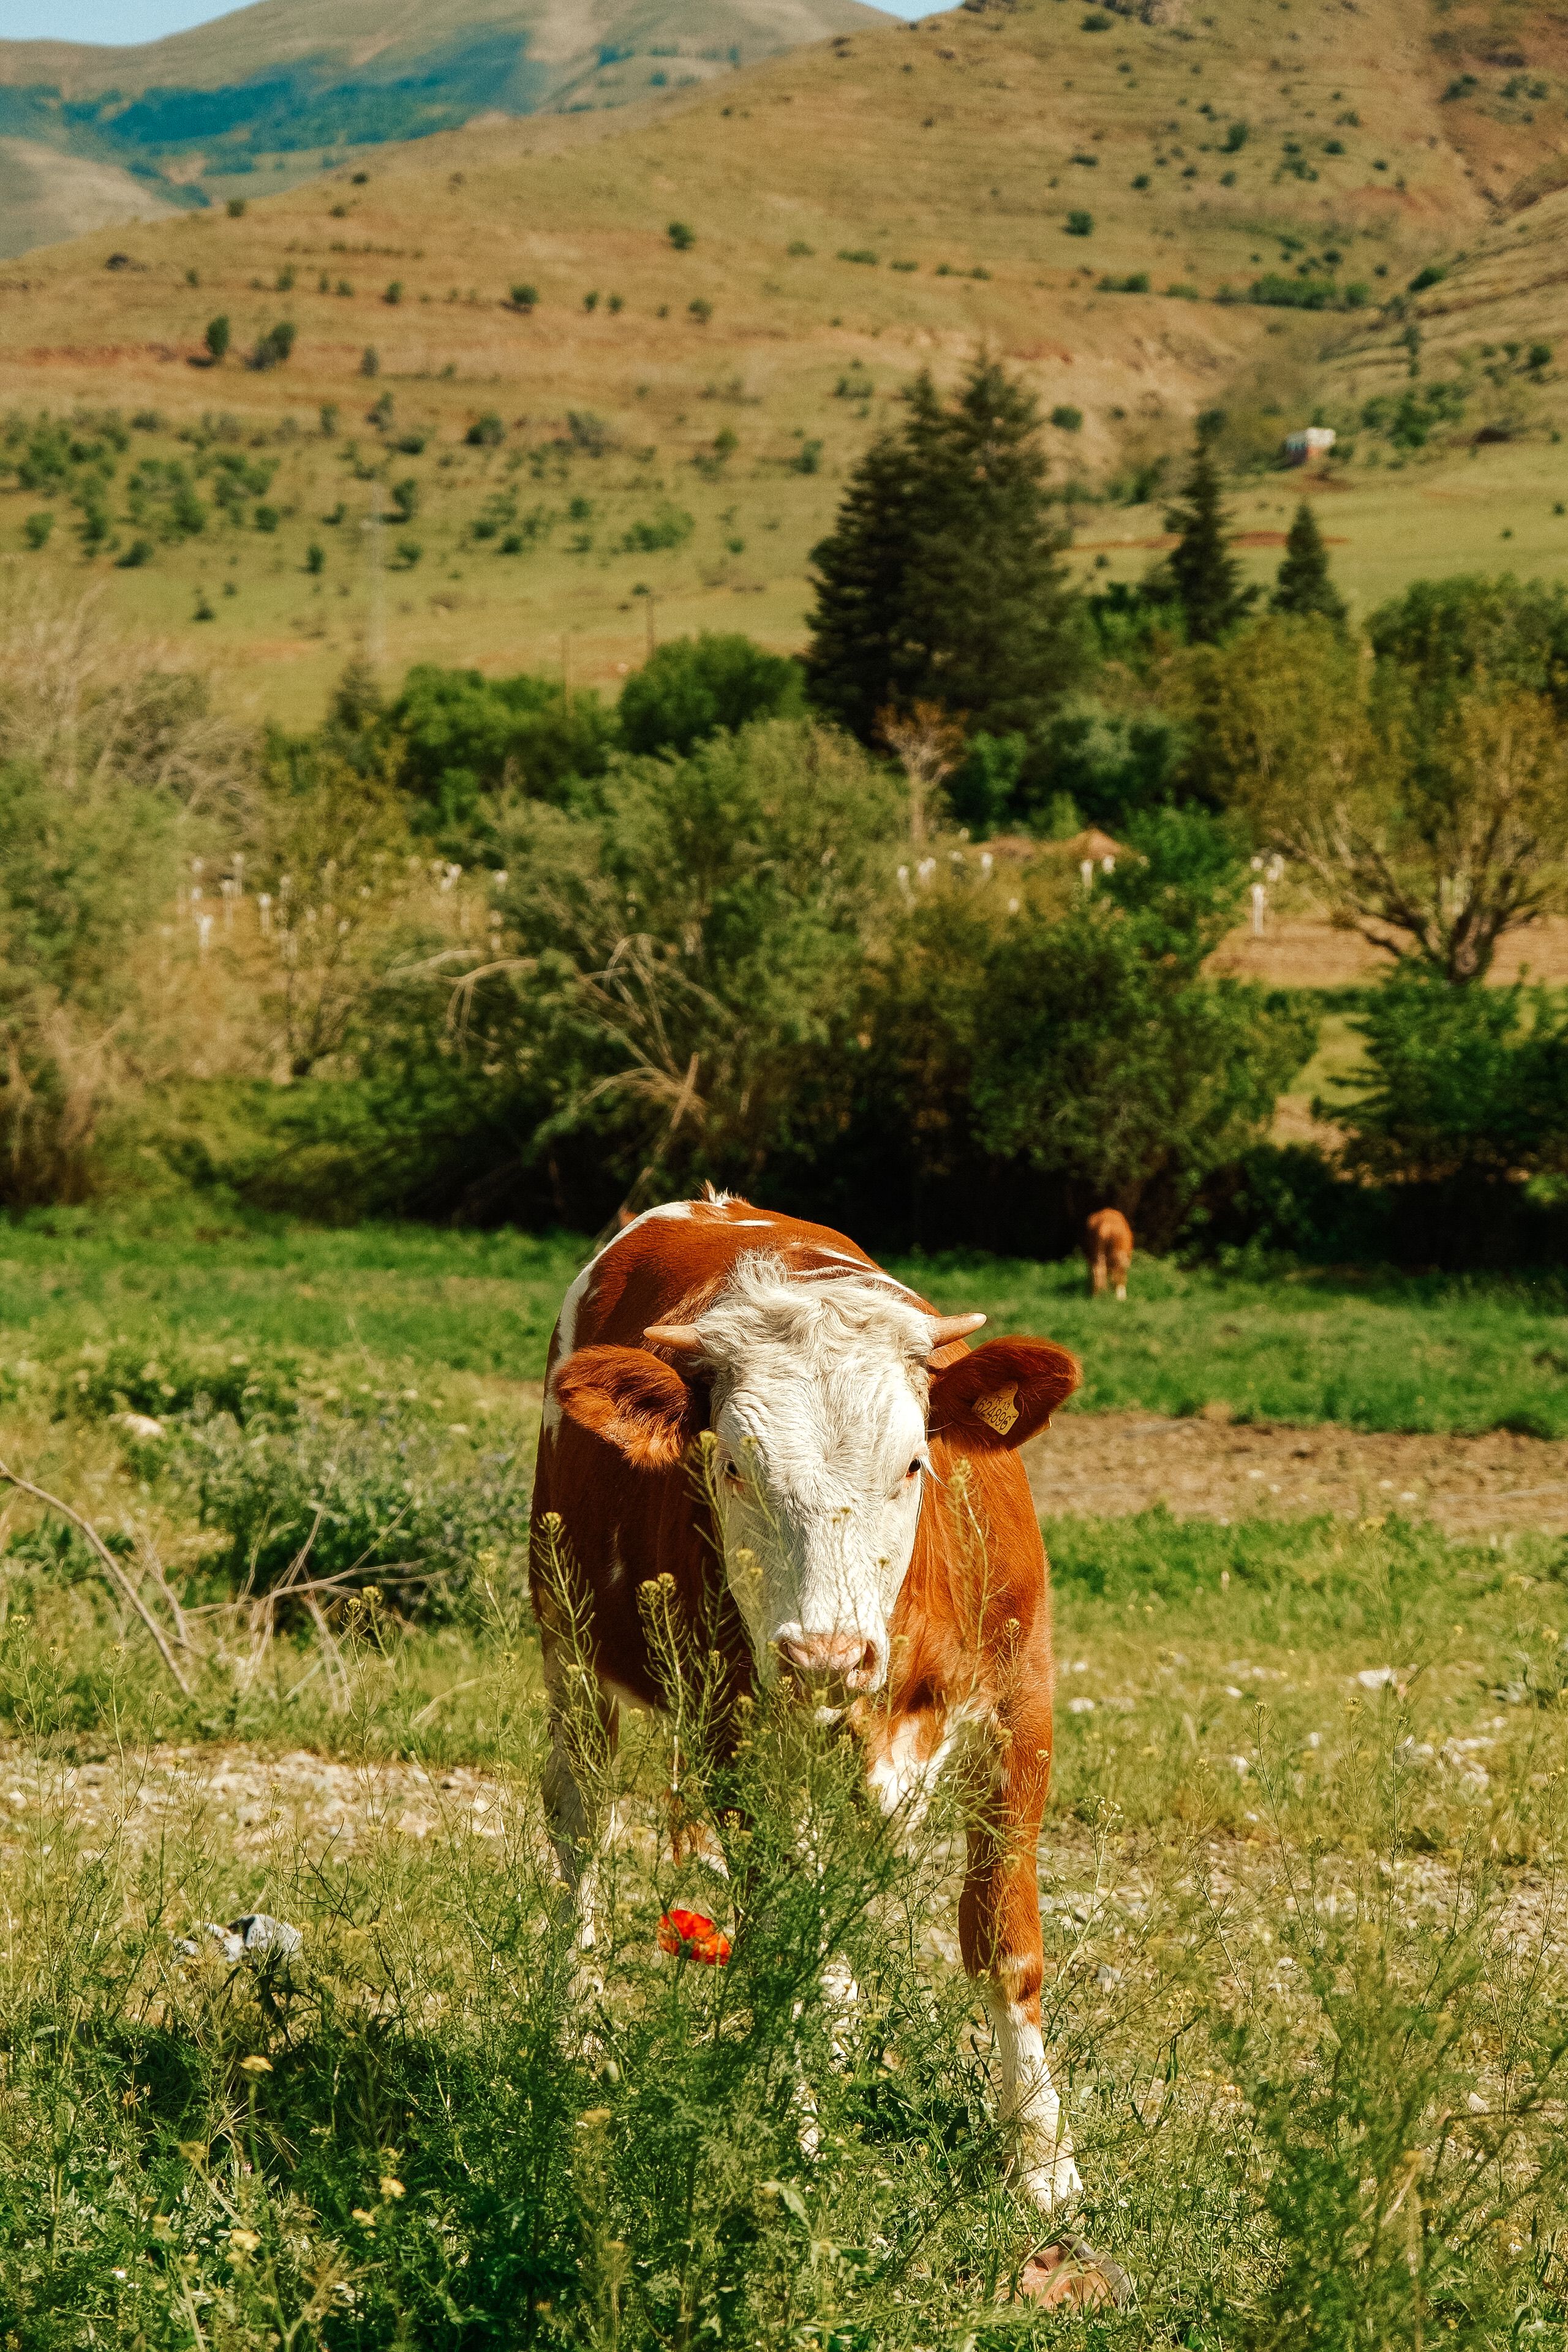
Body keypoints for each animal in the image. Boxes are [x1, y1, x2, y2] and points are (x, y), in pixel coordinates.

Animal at [531, 1192, 1128, 2309]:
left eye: (913, 1464)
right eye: (731, 1465)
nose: (824, 1654)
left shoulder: (1021, 1710)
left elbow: (1004, 1940)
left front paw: (1041, 2157)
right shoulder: (740, 1748)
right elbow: (781, 1951)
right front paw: (793, 2146)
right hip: (569, 1651)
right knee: (580, 1830)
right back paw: (572, 2026)